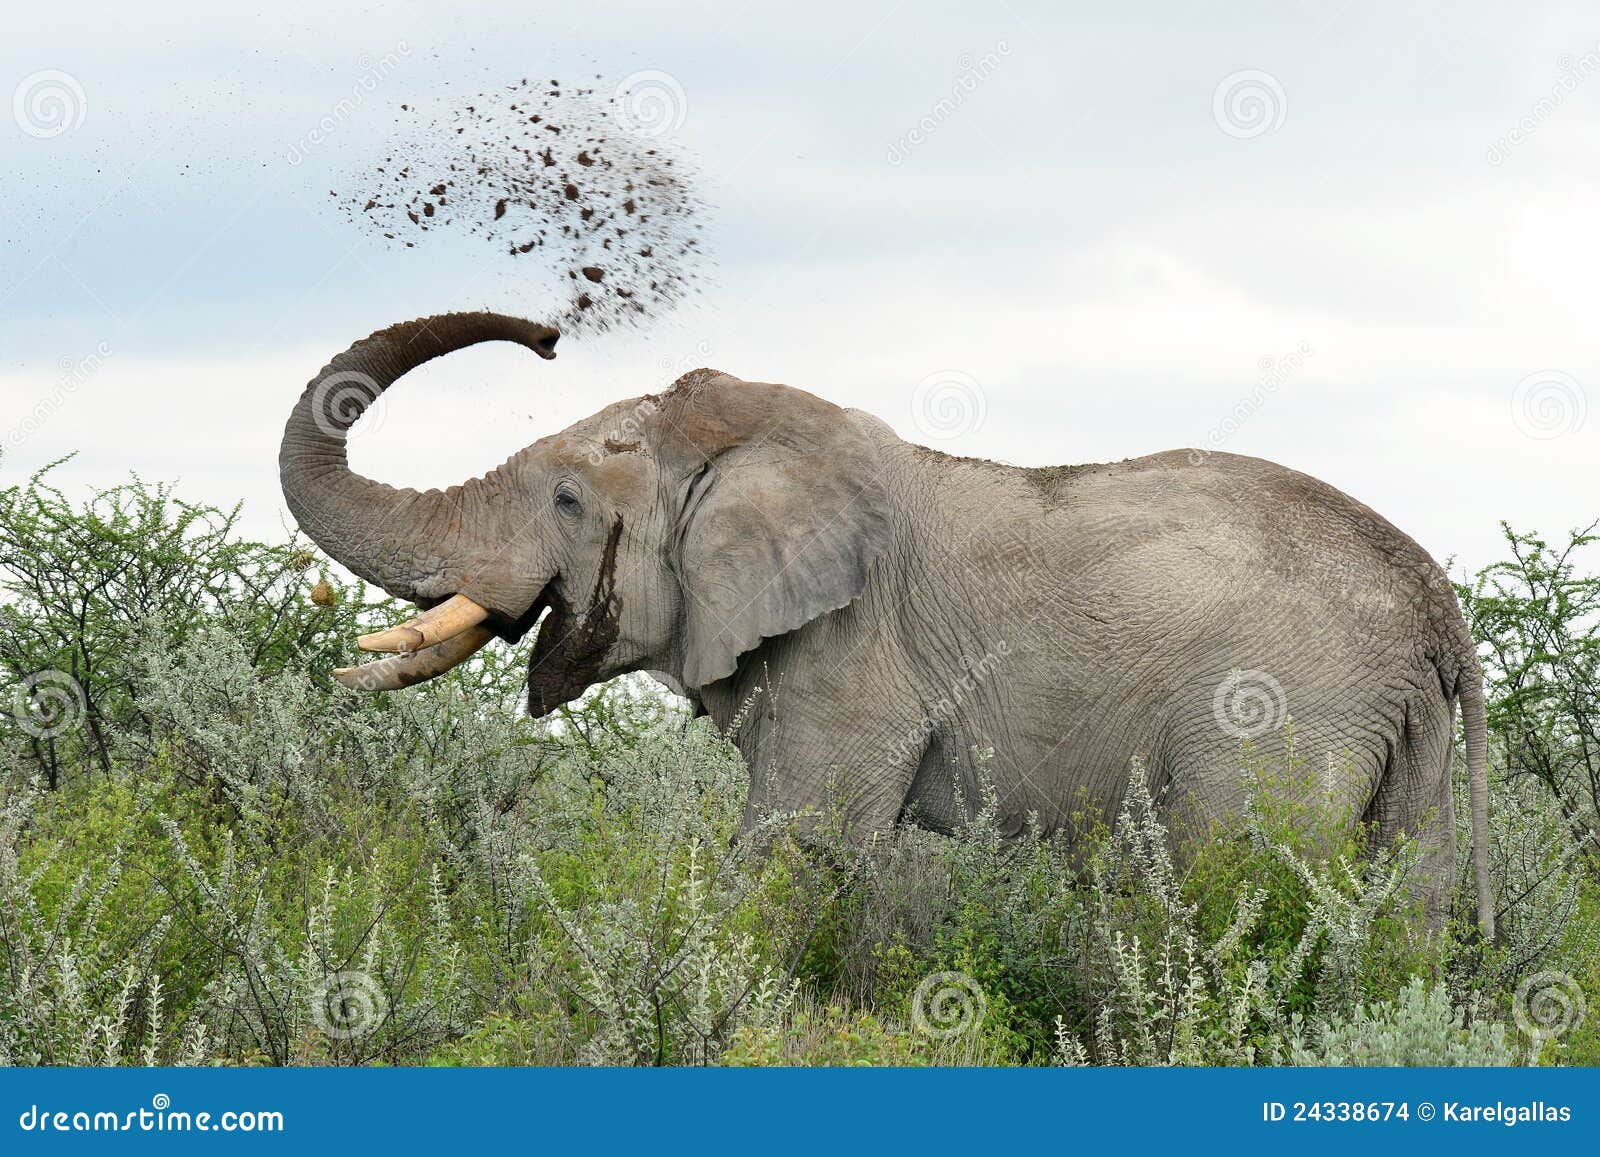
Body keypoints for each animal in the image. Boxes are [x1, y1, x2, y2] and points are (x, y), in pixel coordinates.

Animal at [279, 311, 1494, 939]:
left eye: (569, 501)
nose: (546, 335)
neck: (756, 436)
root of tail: (1435, 604)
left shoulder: (852, 650)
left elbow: (796, 841)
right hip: (1394, 726)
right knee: (1410, 905)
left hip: (1282, 705)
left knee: (1237, 869)